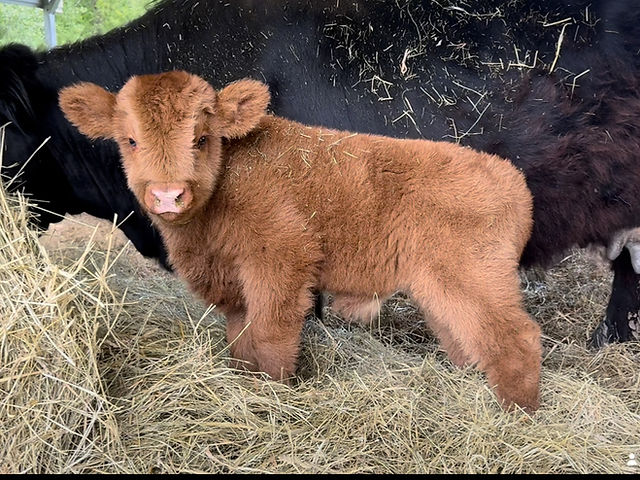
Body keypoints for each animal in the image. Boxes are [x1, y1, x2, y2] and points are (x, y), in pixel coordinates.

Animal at [59, 71, 541, 411]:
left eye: (202, 137)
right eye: (130, 140)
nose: (167, 195)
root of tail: (509, 177)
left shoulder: (280, 263)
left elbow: (271, 338)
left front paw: (272, 396)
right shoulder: (236, 287)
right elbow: (240, 340)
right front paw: (244, 383)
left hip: (476, 280)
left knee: (516, 337)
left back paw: (518, 417)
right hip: (439, 290)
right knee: (466, 341)